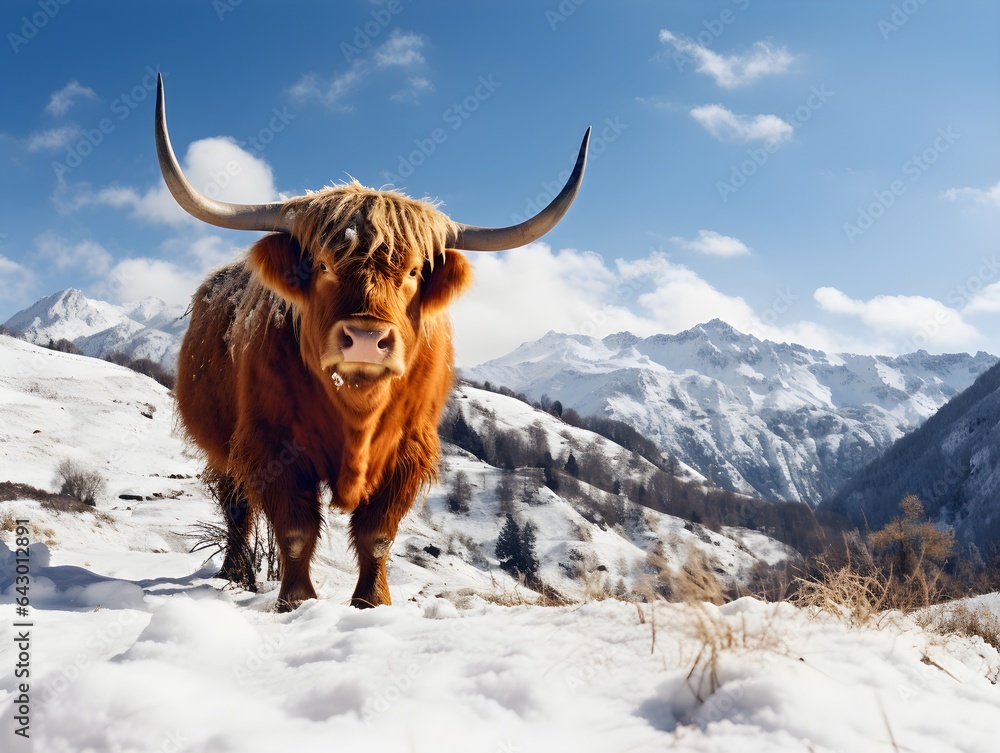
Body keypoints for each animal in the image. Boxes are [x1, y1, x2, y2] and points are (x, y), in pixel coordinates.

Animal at [155, 75, 588, 611]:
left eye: (415, 271)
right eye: (321, 264)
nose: (365, 338)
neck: (356, 413)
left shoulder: (407, 451)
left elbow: (377, 534)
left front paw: (372, 602)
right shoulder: (273, 444)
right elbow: (295, 530)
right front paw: (296, 601)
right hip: (223, 444)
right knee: (236, 506)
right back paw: (237, 576)